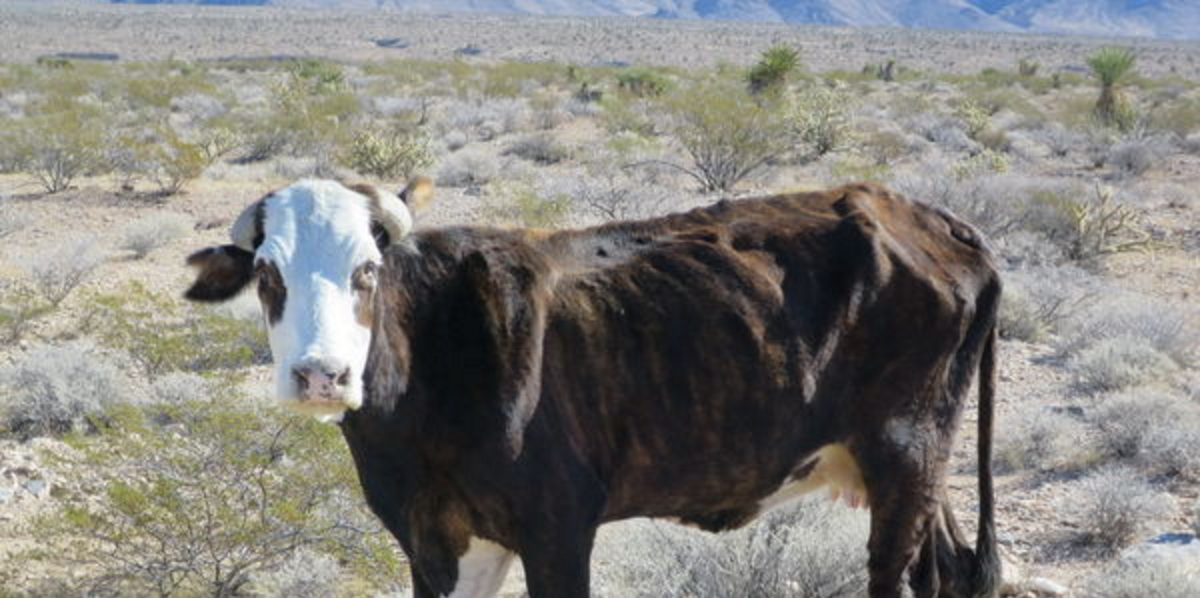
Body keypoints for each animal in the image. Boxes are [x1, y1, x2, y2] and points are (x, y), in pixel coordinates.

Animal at [184, 178, 1002, 598]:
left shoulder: (558, 528)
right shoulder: (435, 541)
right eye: (267, 274)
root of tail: (930, 217)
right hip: (909, 461)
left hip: (907, 452)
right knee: (949, 572)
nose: (322, 375)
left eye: (367, 269)